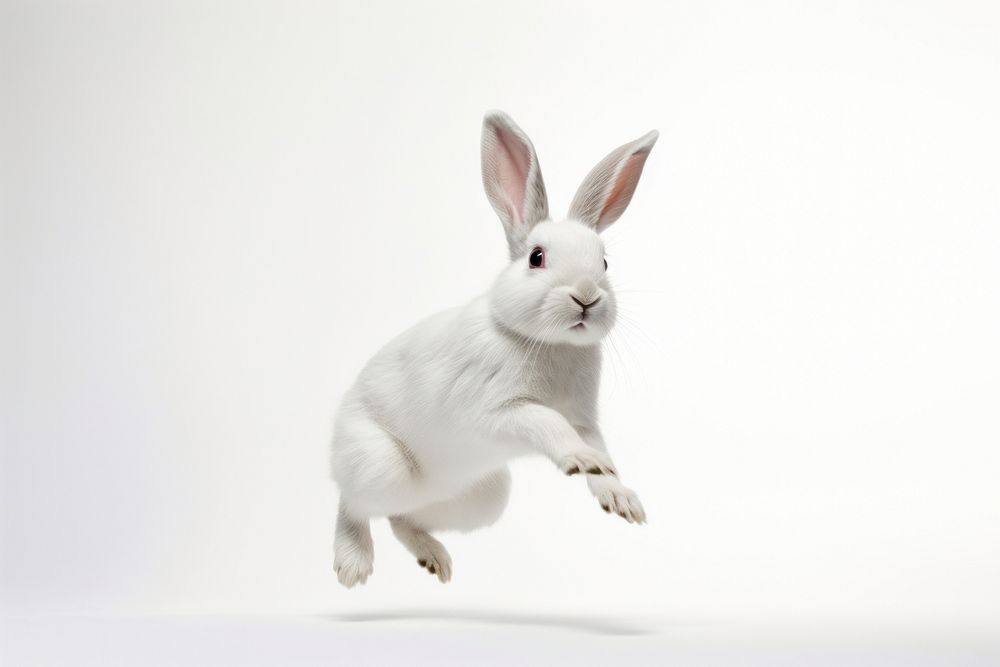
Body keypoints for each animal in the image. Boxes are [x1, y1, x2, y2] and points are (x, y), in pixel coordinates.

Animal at [331, 110, 658, 587]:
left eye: (604, 263)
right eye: (537, 257)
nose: (586, 296)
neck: (548, 342)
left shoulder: (583, 418)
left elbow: (604, 455)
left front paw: (618, 495)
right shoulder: (494, 411)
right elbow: (545, 421)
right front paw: (579, 459)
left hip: (485, 497)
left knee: (401, 519)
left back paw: (434, 560)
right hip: (378, 463)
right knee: (354, 504)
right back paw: (352, 564)